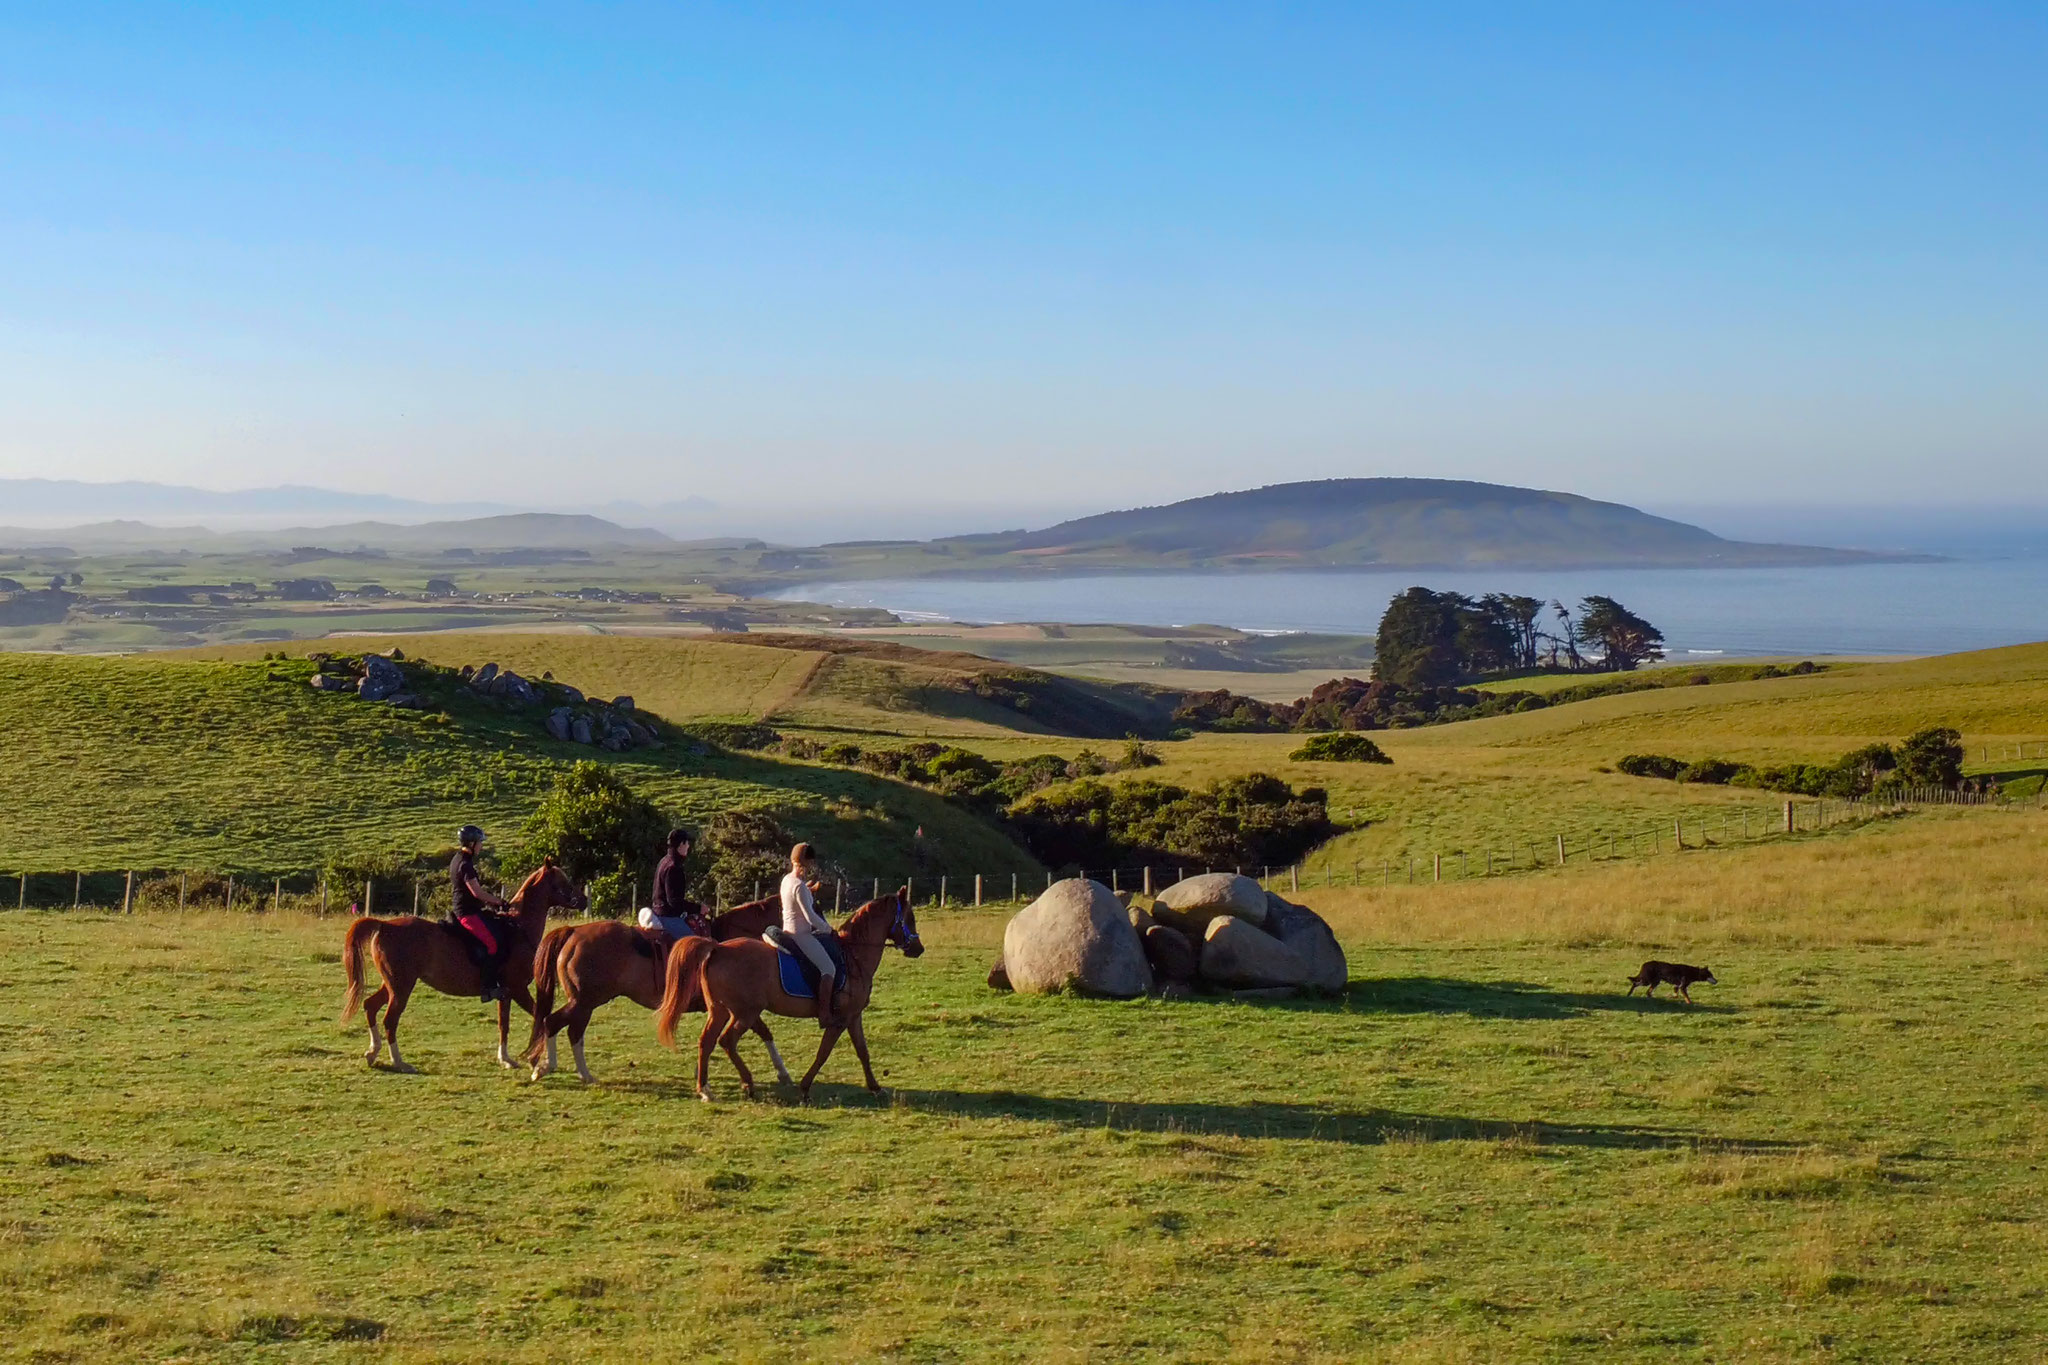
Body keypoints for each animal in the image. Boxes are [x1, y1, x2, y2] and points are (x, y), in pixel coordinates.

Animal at [341, 858, 587, 1073]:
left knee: (370, 1006)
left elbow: (504, 1024)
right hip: (401, 988)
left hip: (392, 985)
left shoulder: (506, 992)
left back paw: (372, 1053)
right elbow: (541, 1018)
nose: (583, 900)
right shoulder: (518, 989)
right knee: (390, 1020)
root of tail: (385, 926)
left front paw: (506, 1059)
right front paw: (539, 1060)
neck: (517, 928)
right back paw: (400, 1063)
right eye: (563, 882)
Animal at [523, 898, 788, 1084]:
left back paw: (576, 1073)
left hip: (584, 1002)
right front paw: (782, 1071)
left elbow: (763, 1032)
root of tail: (573, 932)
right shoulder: (740, 1007)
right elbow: (761, 1031)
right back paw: (550, 1068)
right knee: (555, 1023)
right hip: (584, 1001)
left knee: (568, 1029)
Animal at [655, 888, 922, 1102]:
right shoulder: (840, 1019)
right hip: (745, 1013)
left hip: (721, 1011)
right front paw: (804, 1087)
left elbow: (863, 1052)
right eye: (910, 918)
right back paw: (747, 1083)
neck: (854, 955)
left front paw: (875, 1087)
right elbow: (824, 1053)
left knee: (707, 1042)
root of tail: (718, 948)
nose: (918, 949)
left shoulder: (854, 1017)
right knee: (726, 1041)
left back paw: (706, 1089)